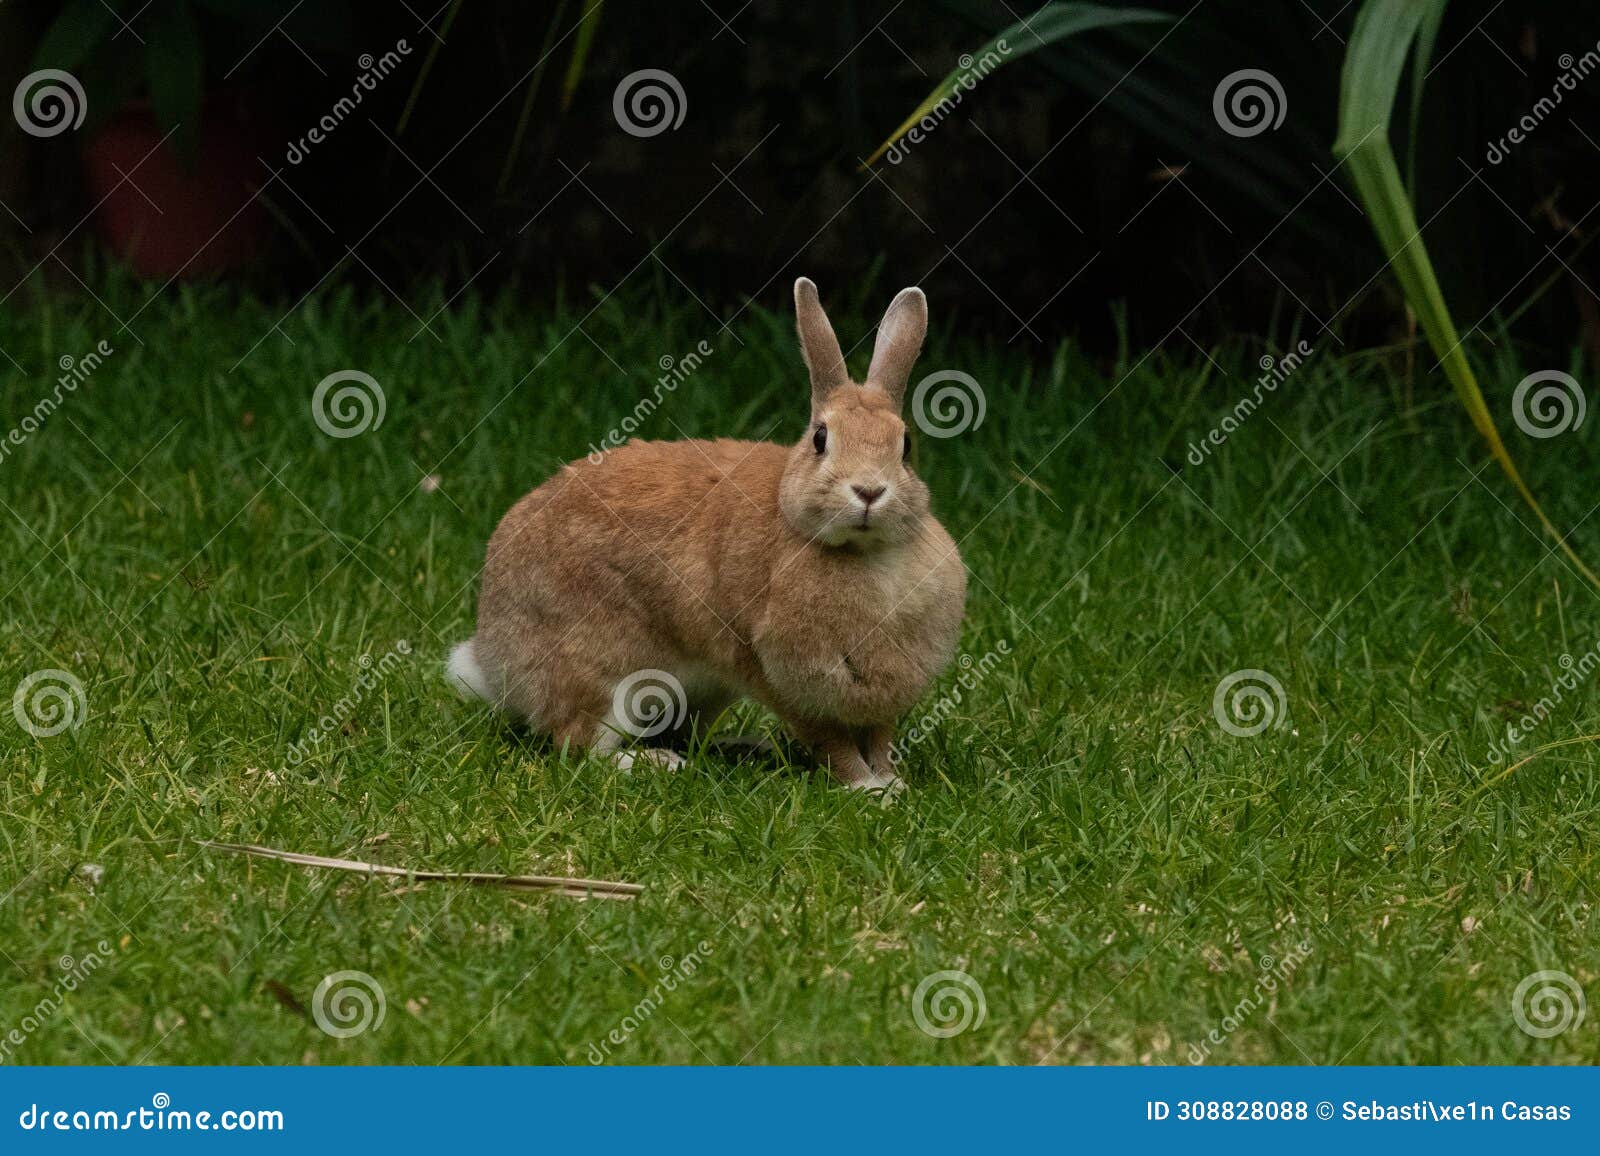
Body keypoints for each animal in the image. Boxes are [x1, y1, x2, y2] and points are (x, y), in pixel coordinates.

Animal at [447, 278, 967, 793]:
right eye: (821, 439)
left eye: (906, 446)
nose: (869, 490)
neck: (865, 552)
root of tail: (494, 654)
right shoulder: (777, 674)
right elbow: (831, 743)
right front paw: (867, 788)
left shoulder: (880, 698)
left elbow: (878, 737)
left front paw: (890, 782)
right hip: (609, 673)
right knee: (579, 744)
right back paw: (653, 764)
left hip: (704, 690)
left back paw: (746, 748)